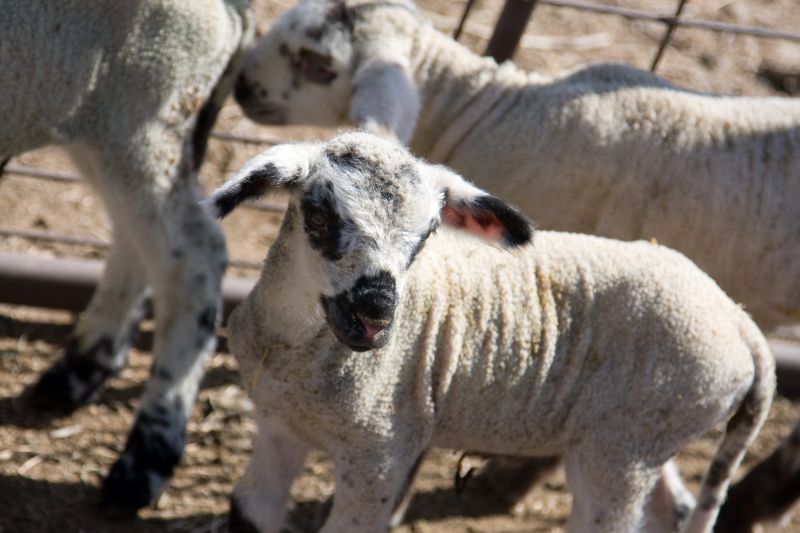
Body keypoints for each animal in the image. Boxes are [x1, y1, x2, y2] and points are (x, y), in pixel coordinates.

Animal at [0, 0, 252, 512]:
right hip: (81, 109)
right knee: (140, 239)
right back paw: (81, 368)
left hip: (144, 107)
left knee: (192, 257)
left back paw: (145, 458)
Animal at [209, 131, 775, 533]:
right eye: (320, 215)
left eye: (428, 234)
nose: (376, 312)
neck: (294, 346)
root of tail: (740, 323)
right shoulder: (277, 425)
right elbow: (250, 514)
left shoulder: (380, 451)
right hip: (647, 440)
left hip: (624, 445)